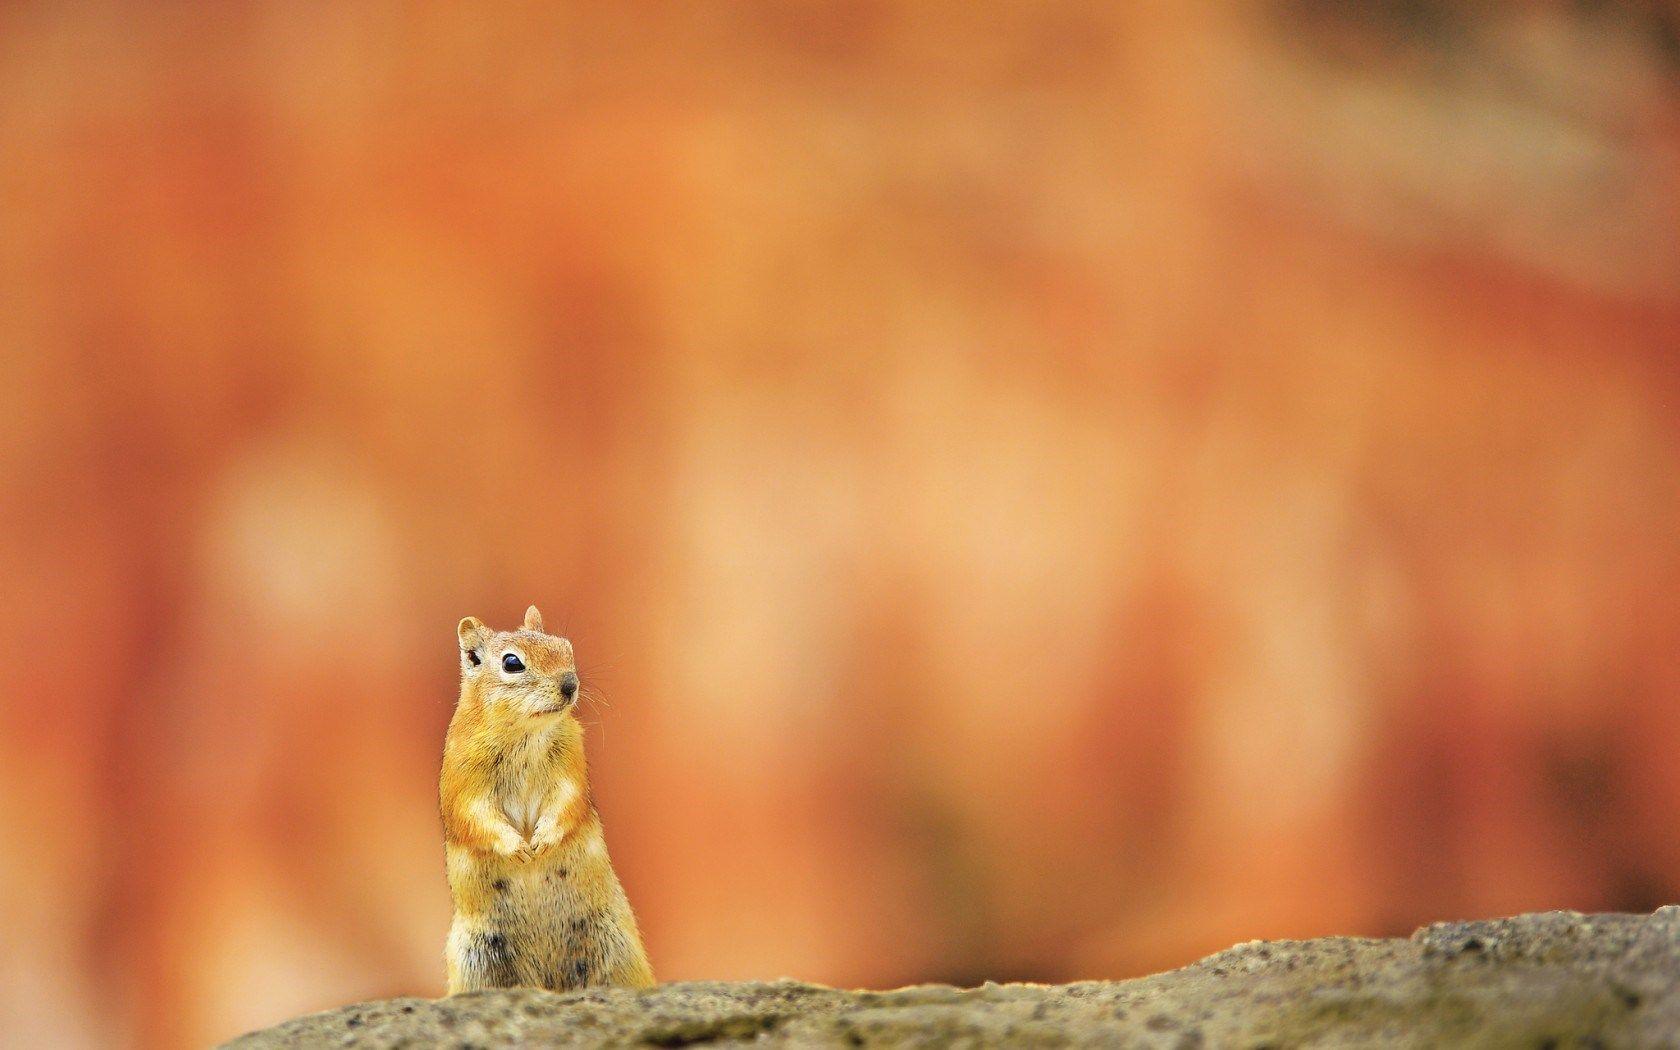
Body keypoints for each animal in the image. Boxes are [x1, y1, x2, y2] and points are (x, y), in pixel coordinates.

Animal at [440, 605, 654, 994]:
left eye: (565, 646)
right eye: (512, 662)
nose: (570, 684)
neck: (525, 732)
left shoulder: (571, 766)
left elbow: (566, 802)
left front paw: (542, 840)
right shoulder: (462, 782)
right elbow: (476, 816)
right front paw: (518, 848)